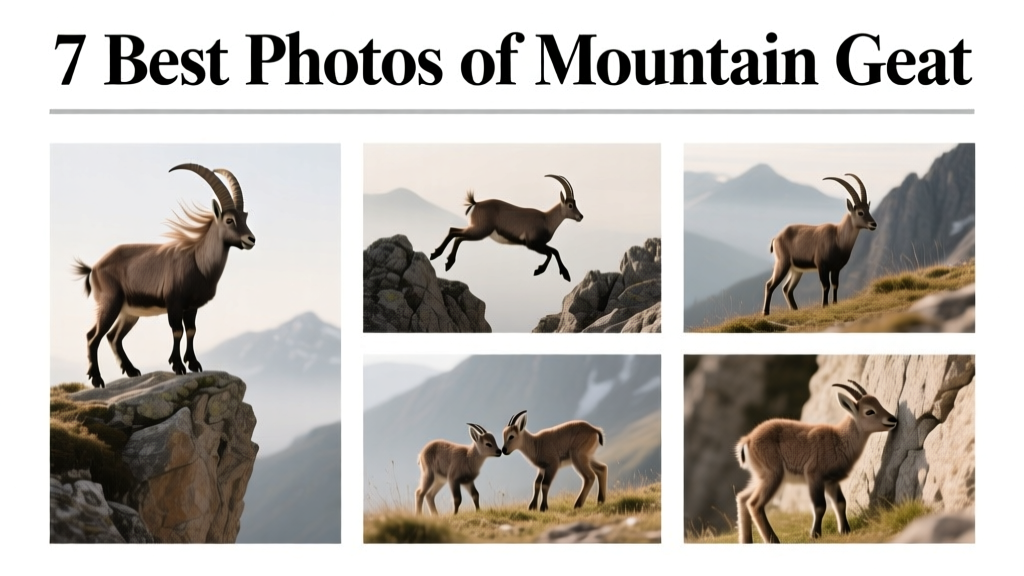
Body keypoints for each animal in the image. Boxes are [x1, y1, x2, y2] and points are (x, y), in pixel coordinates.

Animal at [74, 163, 256, 388]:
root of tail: (94, 268)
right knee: (93, 336)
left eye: (245, 217)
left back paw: (132, 371)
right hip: (110, 302)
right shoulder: (174, 302)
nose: (251, 239)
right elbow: (177, 331)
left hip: (129, 312)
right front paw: (178, 366)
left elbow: (191, 330)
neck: (198, 262)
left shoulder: (191, 307)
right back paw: (98, 379)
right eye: (229, 220)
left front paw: (194, 364)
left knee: (113, 336)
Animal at [429, 174, 583, 282]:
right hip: (480, 231)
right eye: (570, 205)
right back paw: (443, 259)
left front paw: (566, 274)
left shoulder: (540, 244)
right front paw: (539, 271)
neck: (546, 219)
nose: (581, 216)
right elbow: (551, 253)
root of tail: (475, 203)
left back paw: (442, 258)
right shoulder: (532, 244)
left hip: (476, 229)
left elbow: (555, 251)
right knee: (456, 235)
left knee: (455, 232)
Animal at [735, 380, 897, 543]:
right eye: (869, 411)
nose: (893, 419)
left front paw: (845, 530)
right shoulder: (814, 476)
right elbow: (820, 506)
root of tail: (748, 440)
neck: (839, 440)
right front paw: (815, 534)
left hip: (760, 477)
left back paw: (747, 540)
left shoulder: (832, 481)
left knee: (743, 498)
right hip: (773, 475)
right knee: (754, 504)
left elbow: (840, 503)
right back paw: (773, 540)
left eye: (878, 403)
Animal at [762, 174, 877, 315]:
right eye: (860, 212)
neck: (838, 237)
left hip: (796, 270)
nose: (873, 224)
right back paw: (766, 312)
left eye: (868, 209)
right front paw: (824, 305)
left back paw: (795, 310)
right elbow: (825, 285)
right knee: (770, 285)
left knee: (787, 289)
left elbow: (835, 285)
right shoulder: (822, 266)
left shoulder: (836, 268)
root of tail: (776, 238)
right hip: (782, 264)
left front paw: (834, 303)